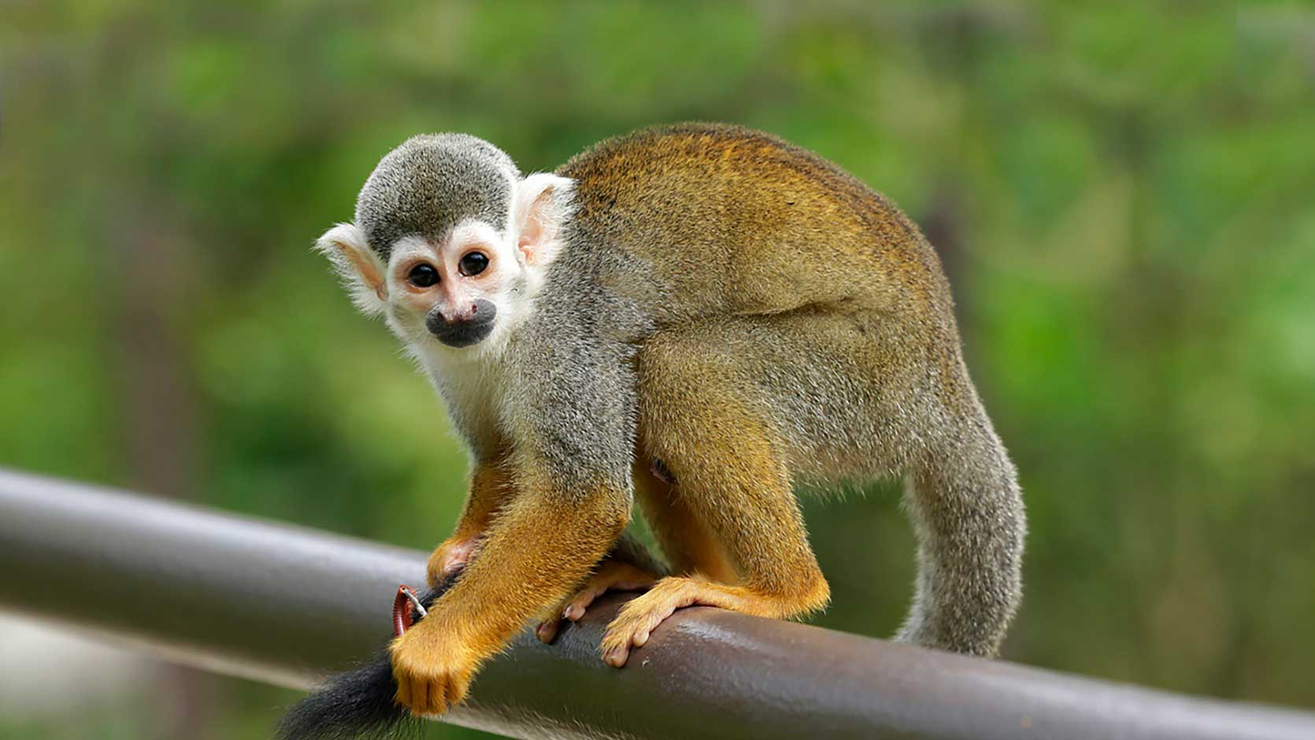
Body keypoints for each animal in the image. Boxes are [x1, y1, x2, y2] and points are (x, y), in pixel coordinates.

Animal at [281, 123, 1025, 735]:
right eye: (422, 276)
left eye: (474, 264)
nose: (461, 311)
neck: (519, 312)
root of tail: (945, 375)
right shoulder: (449, 358)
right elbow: (499, 453)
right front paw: (461, 550)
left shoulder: (563, 336)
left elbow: (582, 495)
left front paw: (440, 644)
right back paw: (665, 575)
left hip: (865, 383)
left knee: (673, 366)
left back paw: (777, 589)